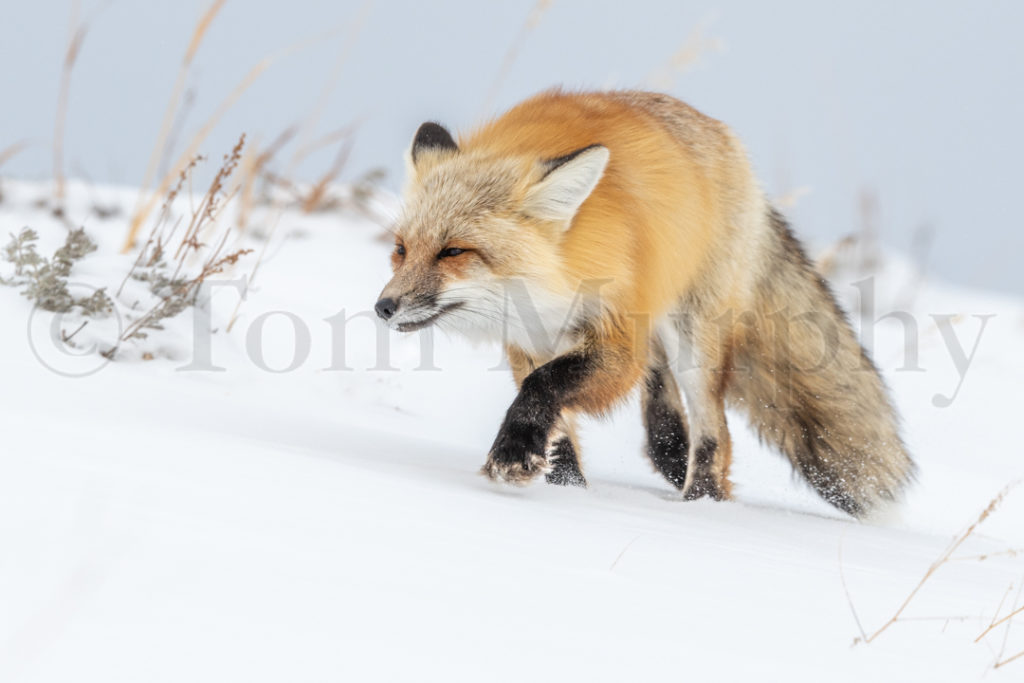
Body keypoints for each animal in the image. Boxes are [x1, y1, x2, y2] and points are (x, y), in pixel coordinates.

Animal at [375, 89, 915, 518]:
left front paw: (514, 453)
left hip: (693, 335)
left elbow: (543, 386)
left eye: (454, 251)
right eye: (401, 249)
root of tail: (724, 138)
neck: (555, 283)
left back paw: (702, 504)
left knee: (715, 432)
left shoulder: (615, 340)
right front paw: (567, 488)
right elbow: (556, 420)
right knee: (664, 411)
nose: (384, 307)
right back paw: (674, 460)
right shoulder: (527, 338)